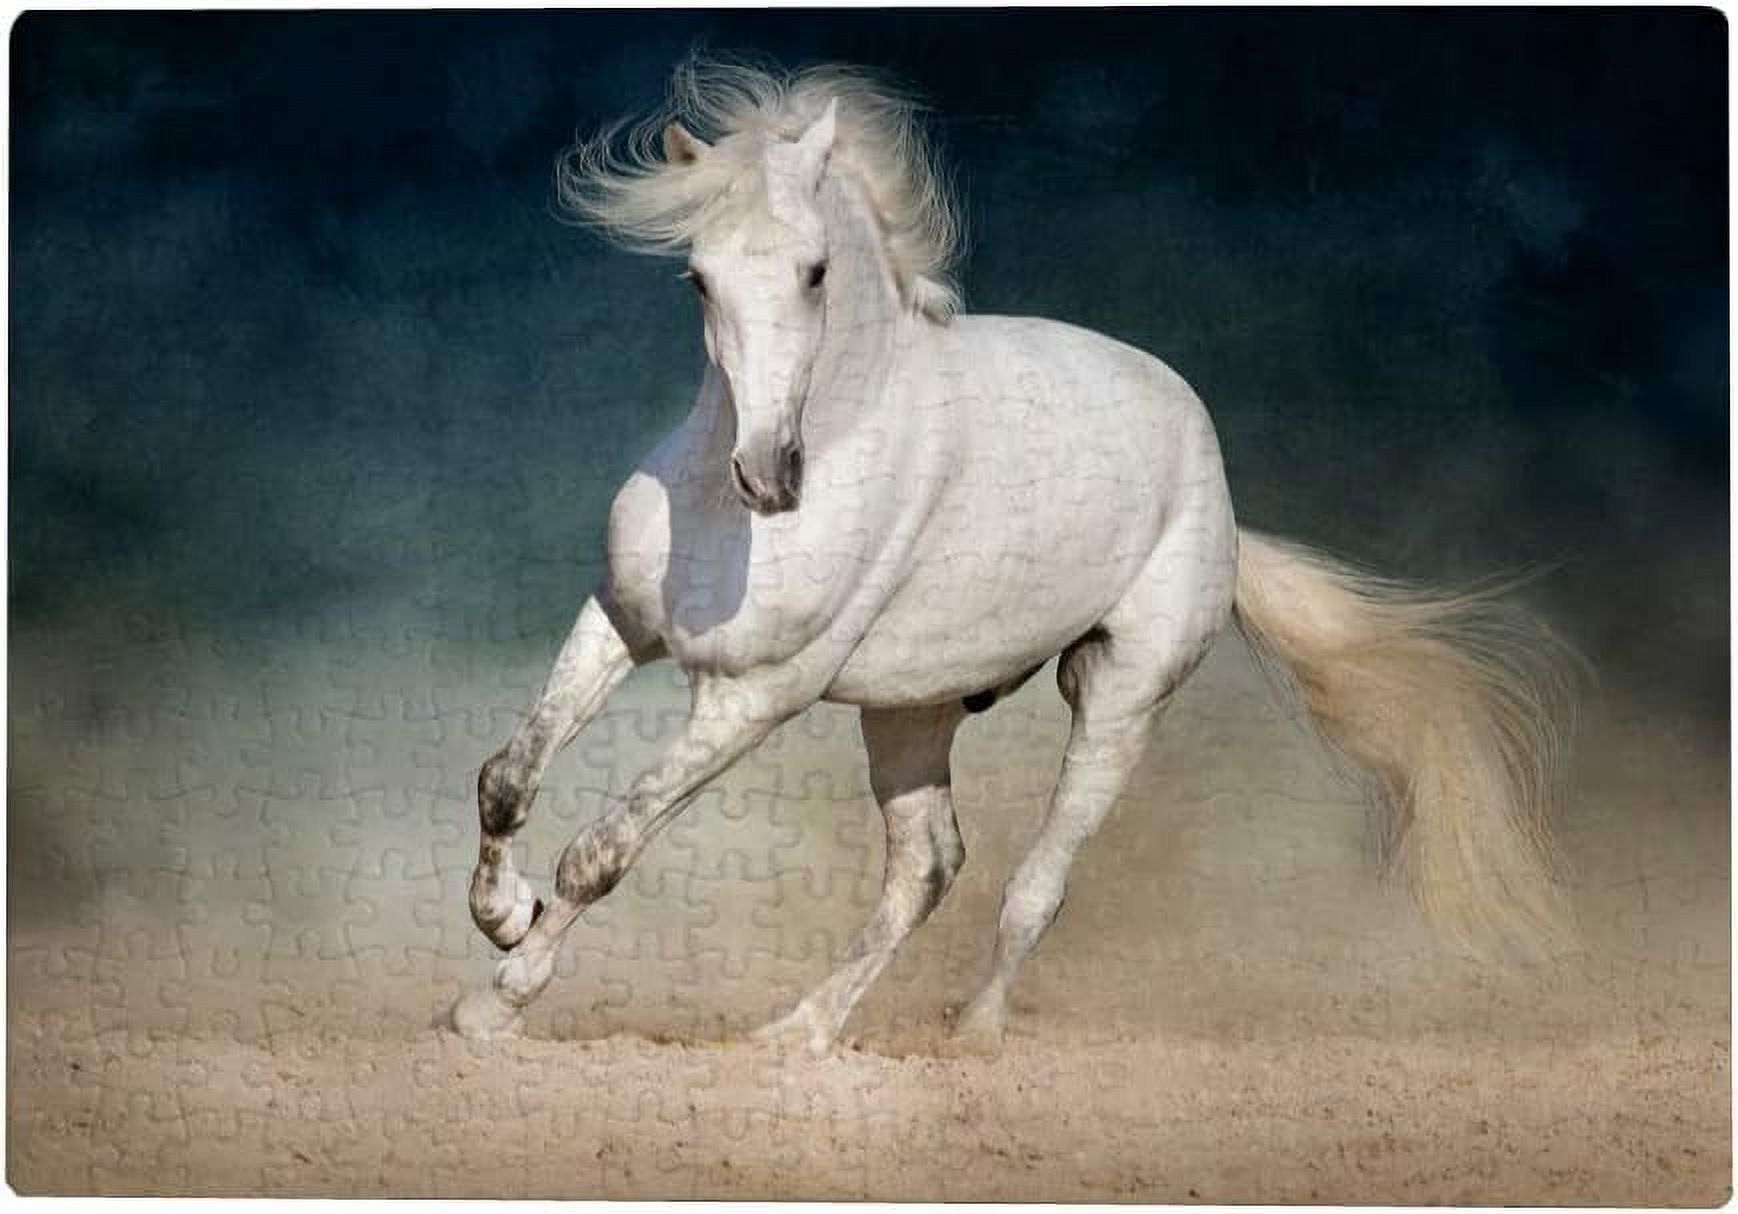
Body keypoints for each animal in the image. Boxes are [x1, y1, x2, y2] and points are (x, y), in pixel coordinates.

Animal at [451, 60, 1574, 1054]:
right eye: (697, 277)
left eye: (816, 271)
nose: (767, 477)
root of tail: (1217, 487)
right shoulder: (620, 622)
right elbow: (507, 776)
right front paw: (502, 916)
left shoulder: (752, 698)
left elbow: (603, 851)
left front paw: (494, 1001)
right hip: (910, 709)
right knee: (927, 868)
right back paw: (796, 1034)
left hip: (1118, 697)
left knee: (1035, 882)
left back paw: (972, 1036)